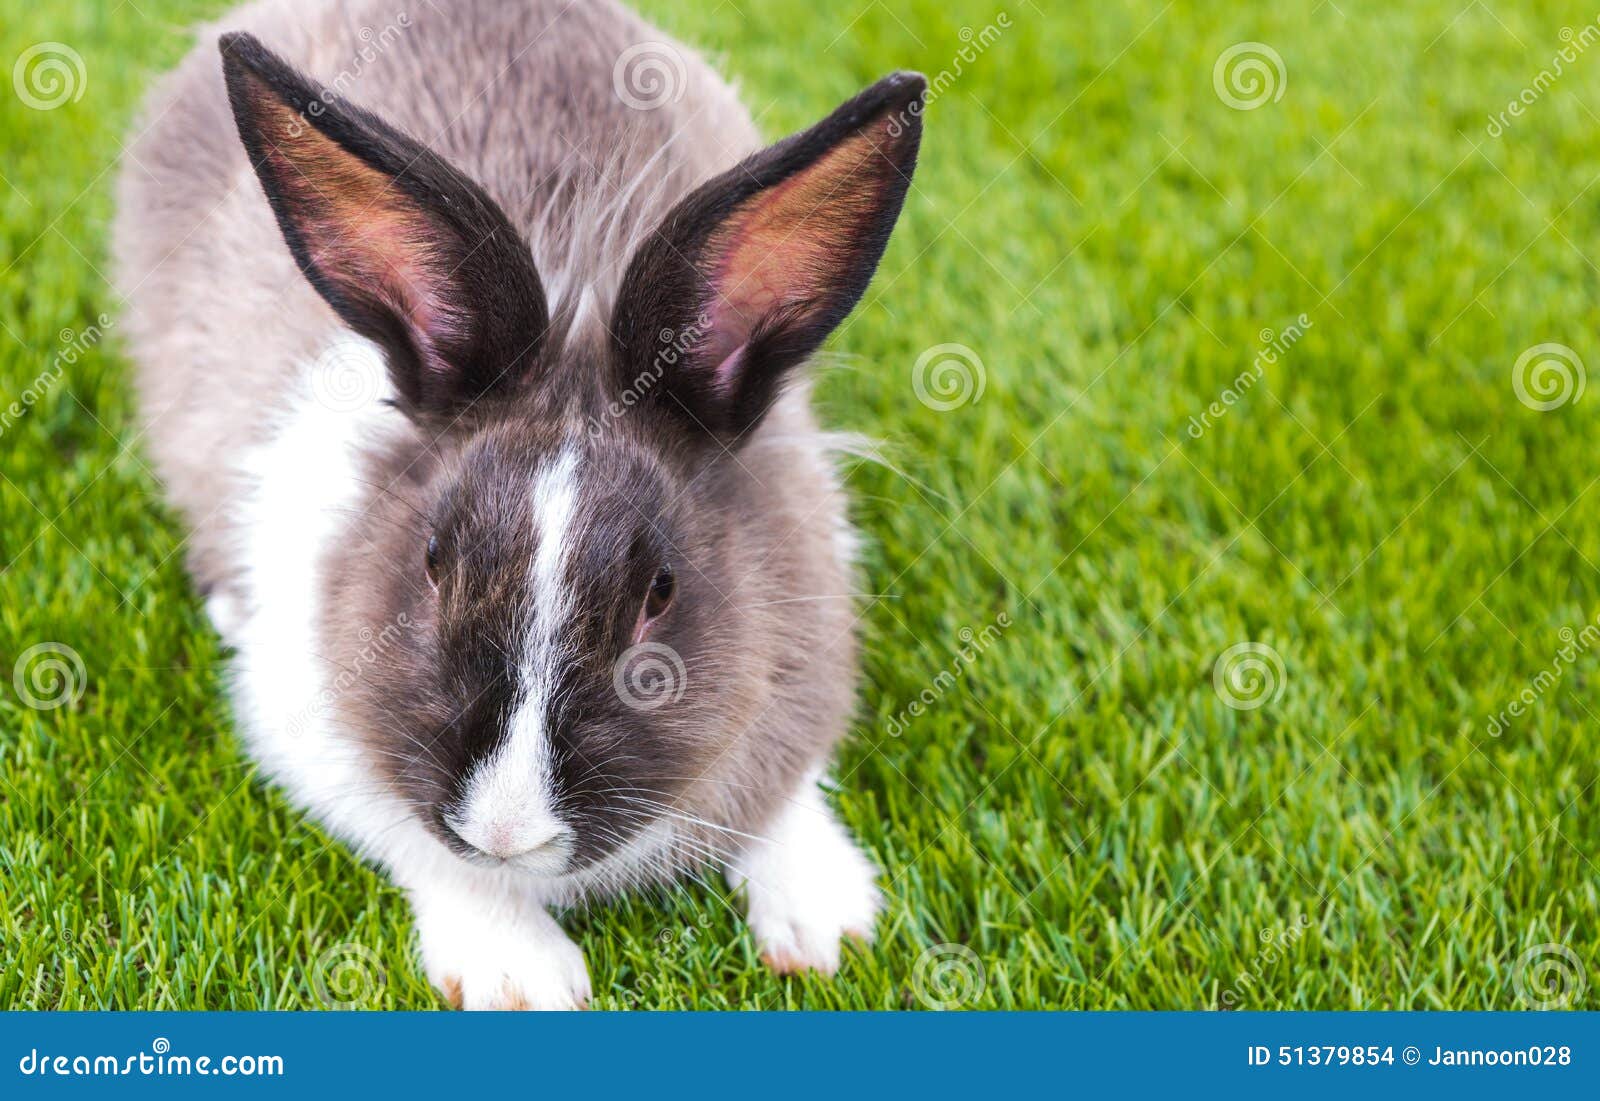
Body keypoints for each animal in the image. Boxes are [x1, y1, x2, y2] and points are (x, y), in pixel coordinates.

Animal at [111, 0, 924, 1010]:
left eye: (660, 591)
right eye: (432, 560)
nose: (506, 831)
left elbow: (785, 790)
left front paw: (826, 926)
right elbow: (427, 851)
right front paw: (520, 975)